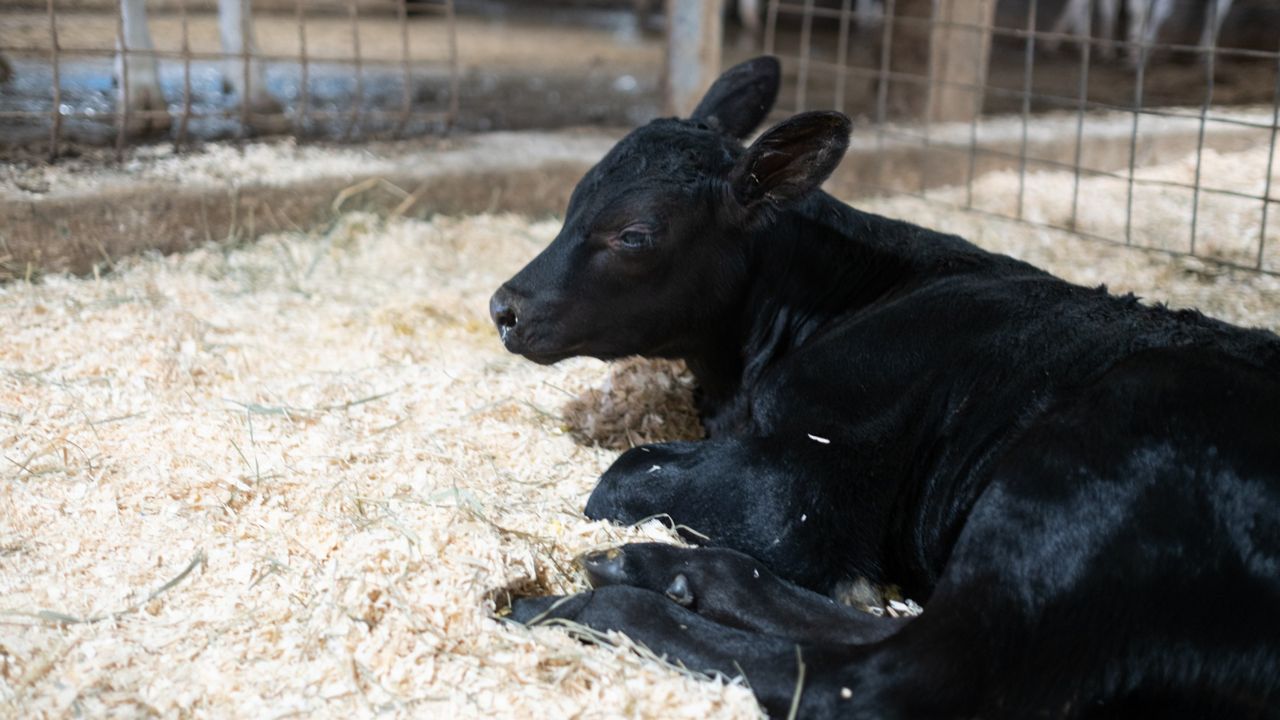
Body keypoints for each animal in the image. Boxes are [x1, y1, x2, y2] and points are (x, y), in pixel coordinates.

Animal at [488, 56, 1280, 718]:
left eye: (634, 235)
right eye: (572, 202)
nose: (505, 307)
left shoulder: (804, 482)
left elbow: (621, 476)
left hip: (1089, 467)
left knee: (883, 679)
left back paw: (589, 607)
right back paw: (664, 569)